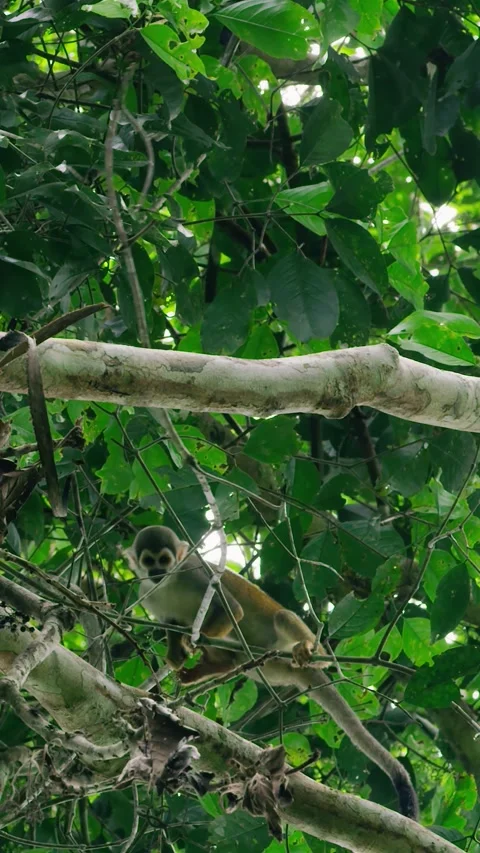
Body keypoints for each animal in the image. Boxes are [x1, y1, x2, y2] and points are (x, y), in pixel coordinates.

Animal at [126, 525, 419, 821]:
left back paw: (309, 651)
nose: (157, 571)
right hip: (263, 666)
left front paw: (194, 639)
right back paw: (216, 667)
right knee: (238, 656)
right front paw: (176, 655)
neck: (169, 584)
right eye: (149, 561)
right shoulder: (148, 595)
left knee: (283, 618)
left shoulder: (194, 572)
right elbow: (171, 623)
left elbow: (232, 609)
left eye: (165, 559)